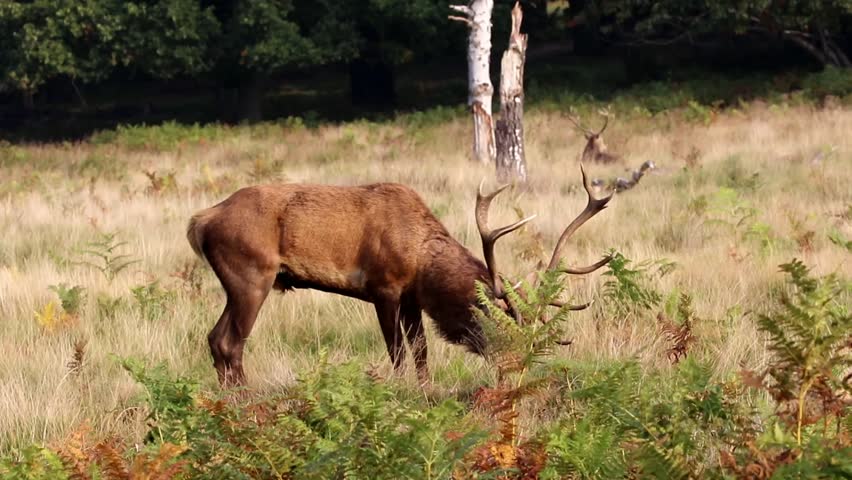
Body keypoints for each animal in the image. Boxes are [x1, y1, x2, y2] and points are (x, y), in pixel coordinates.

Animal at [186, 166, 613, 387]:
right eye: (492, 316)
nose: (512, 366)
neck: (419, 261)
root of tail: (200, 221)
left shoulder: (411, 298)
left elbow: (421, 350)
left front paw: (425, 391)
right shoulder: (384, 286)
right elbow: (398, 352)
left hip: (237, 283)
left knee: (214, 337)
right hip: (251, 275)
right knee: (231, 342)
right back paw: (245, 397)